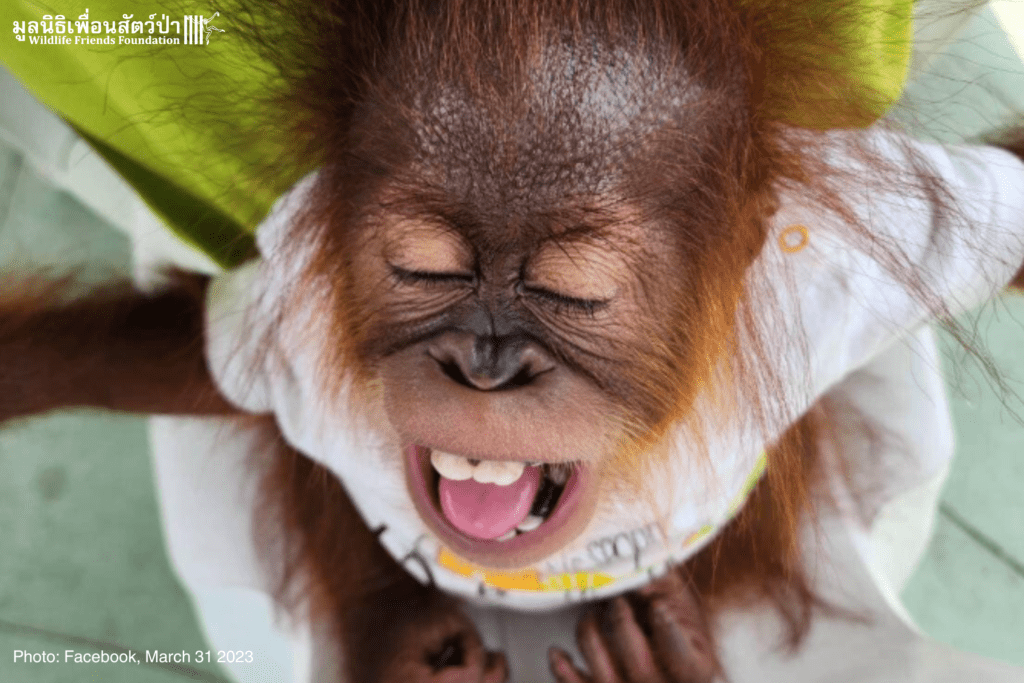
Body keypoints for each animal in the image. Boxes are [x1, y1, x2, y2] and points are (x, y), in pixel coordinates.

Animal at [3, 0, 1024, 681]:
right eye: (425, 271)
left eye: (575, 294)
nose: (485, 367)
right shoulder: (278, 332)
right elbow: (154, 356)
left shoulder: (863, 272)